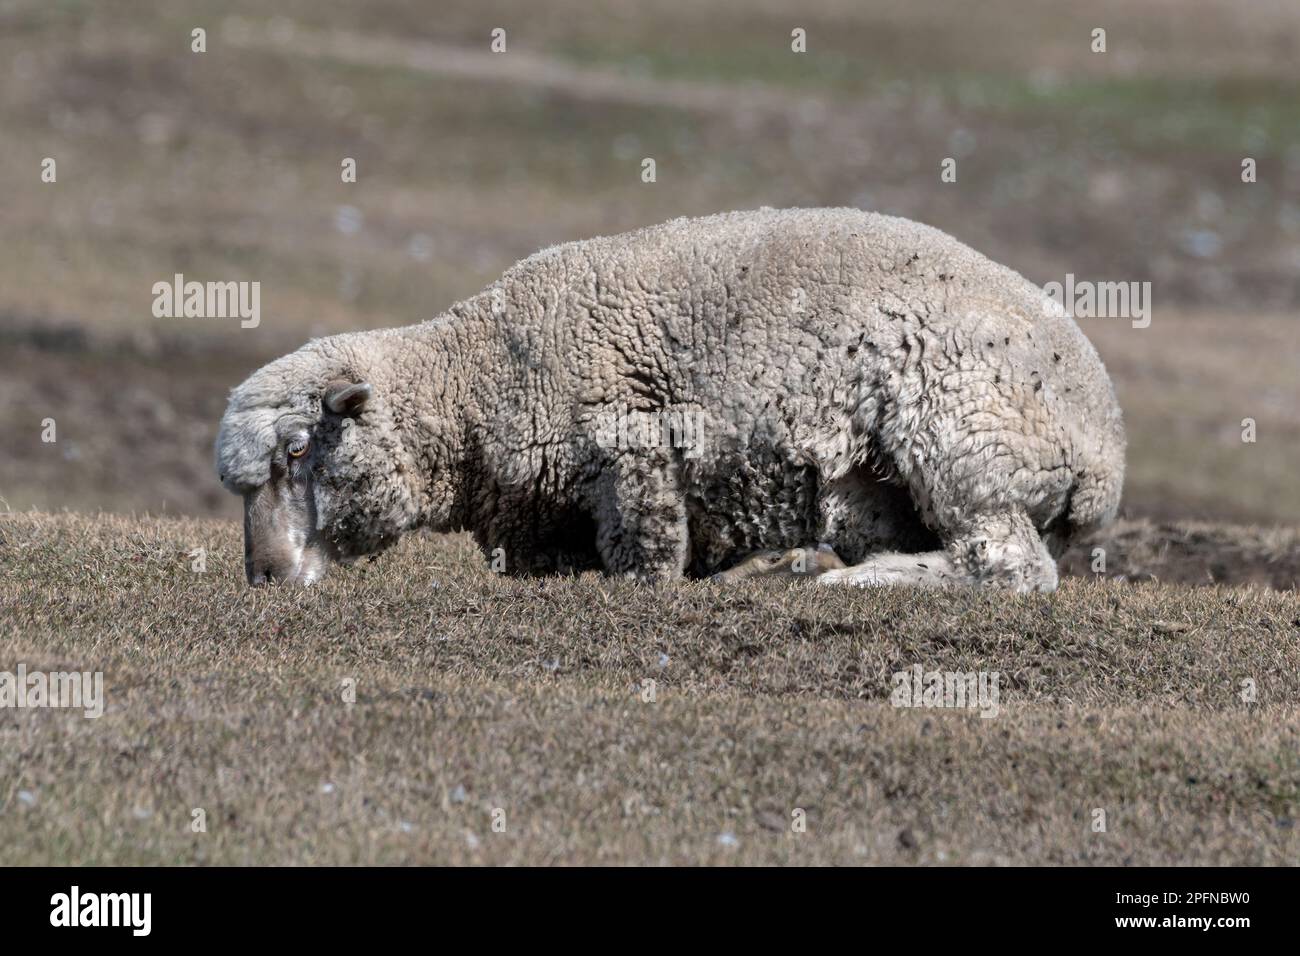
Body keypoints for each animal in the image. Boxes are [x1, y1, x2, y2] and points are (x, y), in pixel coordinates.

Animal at [215, 207, 1125, 591]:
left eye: (299, 448)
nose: (265, 578)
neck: (477, 377)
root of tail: (1104, 449)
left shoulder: (626, 435)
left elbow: (644, 547)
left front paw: (654, 584)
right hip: (869, 481)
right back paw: (804, 563)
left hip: (966, 435)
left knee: (1010, 569)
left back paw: (851, 582)